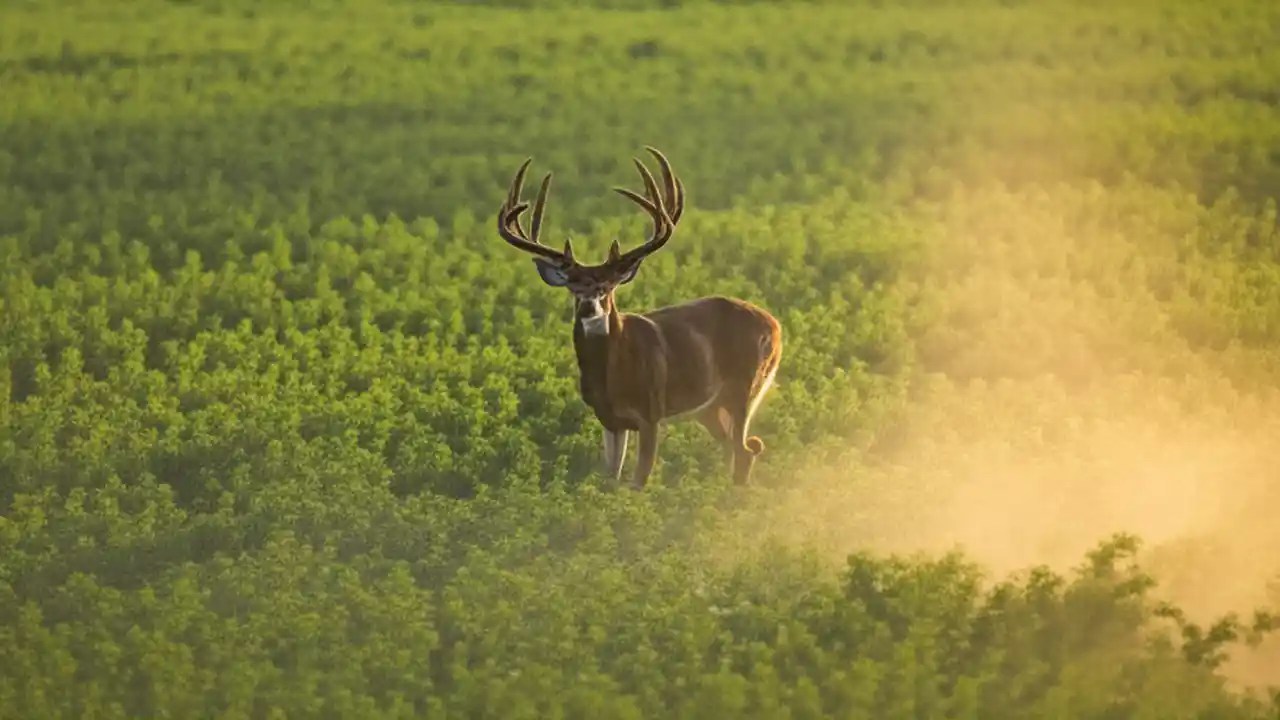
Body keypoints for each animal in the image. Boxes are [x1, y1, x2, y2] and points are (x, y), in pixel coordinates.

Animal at [494, 146, 783, 489]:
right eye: (573, 288)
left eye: (607, 287)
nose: (589, 307)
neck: (612, 378)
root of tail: (775, 324)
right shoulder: (608, 419)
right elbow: (611, 478)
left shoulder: (651, 411)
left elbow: (639, 480)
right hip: (708, 407)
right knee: (735, 447)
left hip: (747, 384)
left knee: (745, 449)